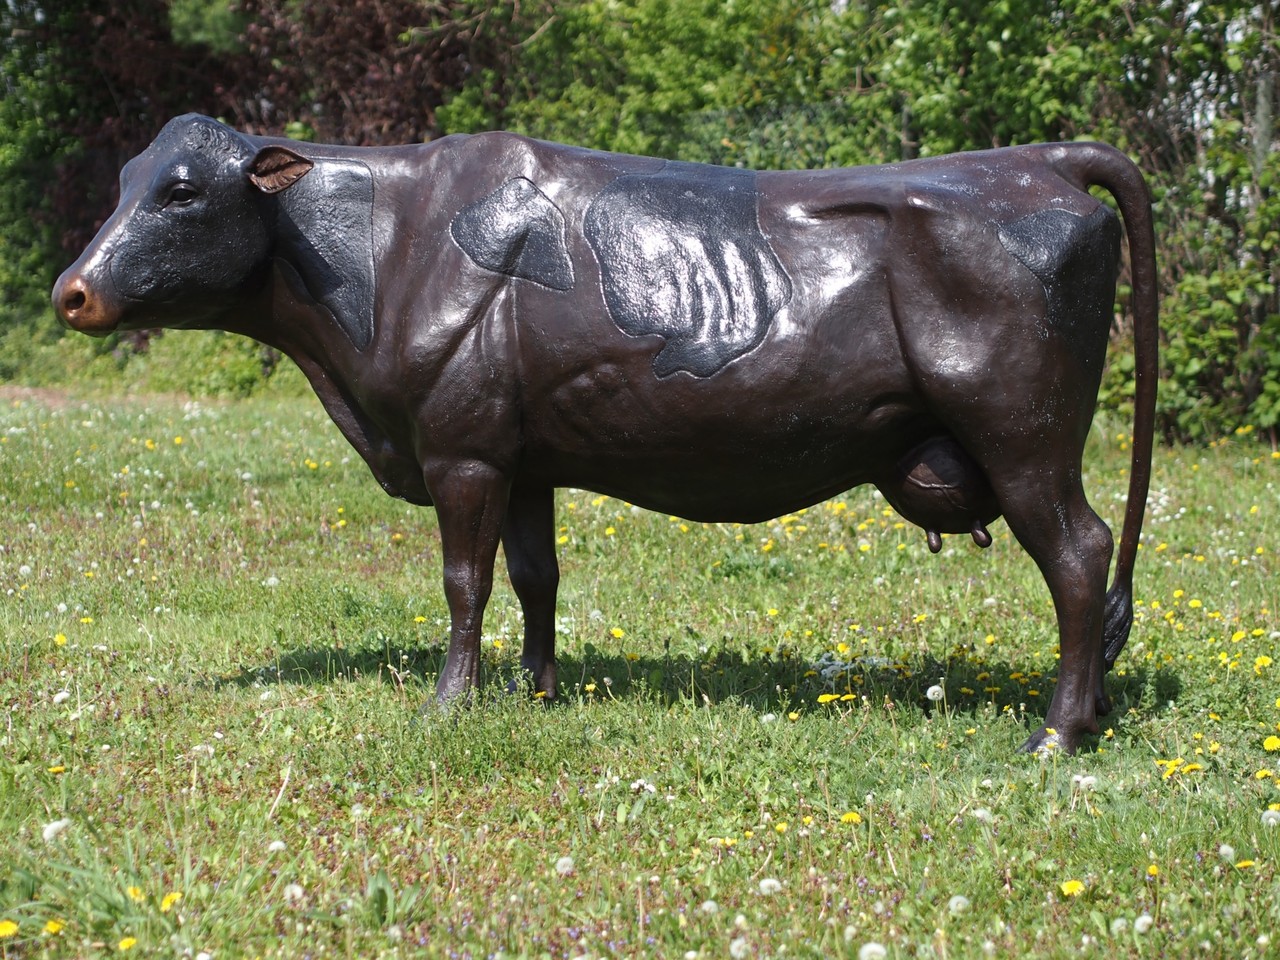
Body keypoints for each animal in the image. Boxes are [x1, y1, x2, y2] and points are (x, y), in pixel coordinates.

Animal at [53, 114, 1158, 755]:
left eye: (183, 190)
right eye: (126, 179)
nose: (74, 291)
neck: (388, 247)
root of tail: (1037, 158)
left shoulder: (459, 449)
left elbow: (464, 583)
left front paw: (449, 704)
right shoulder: (522, 458)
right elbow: (535, 576)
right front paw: (537, 692)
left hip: (1021, 433)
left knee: (1078, 552)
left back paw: (1058, 735)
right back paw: (1089, 711)